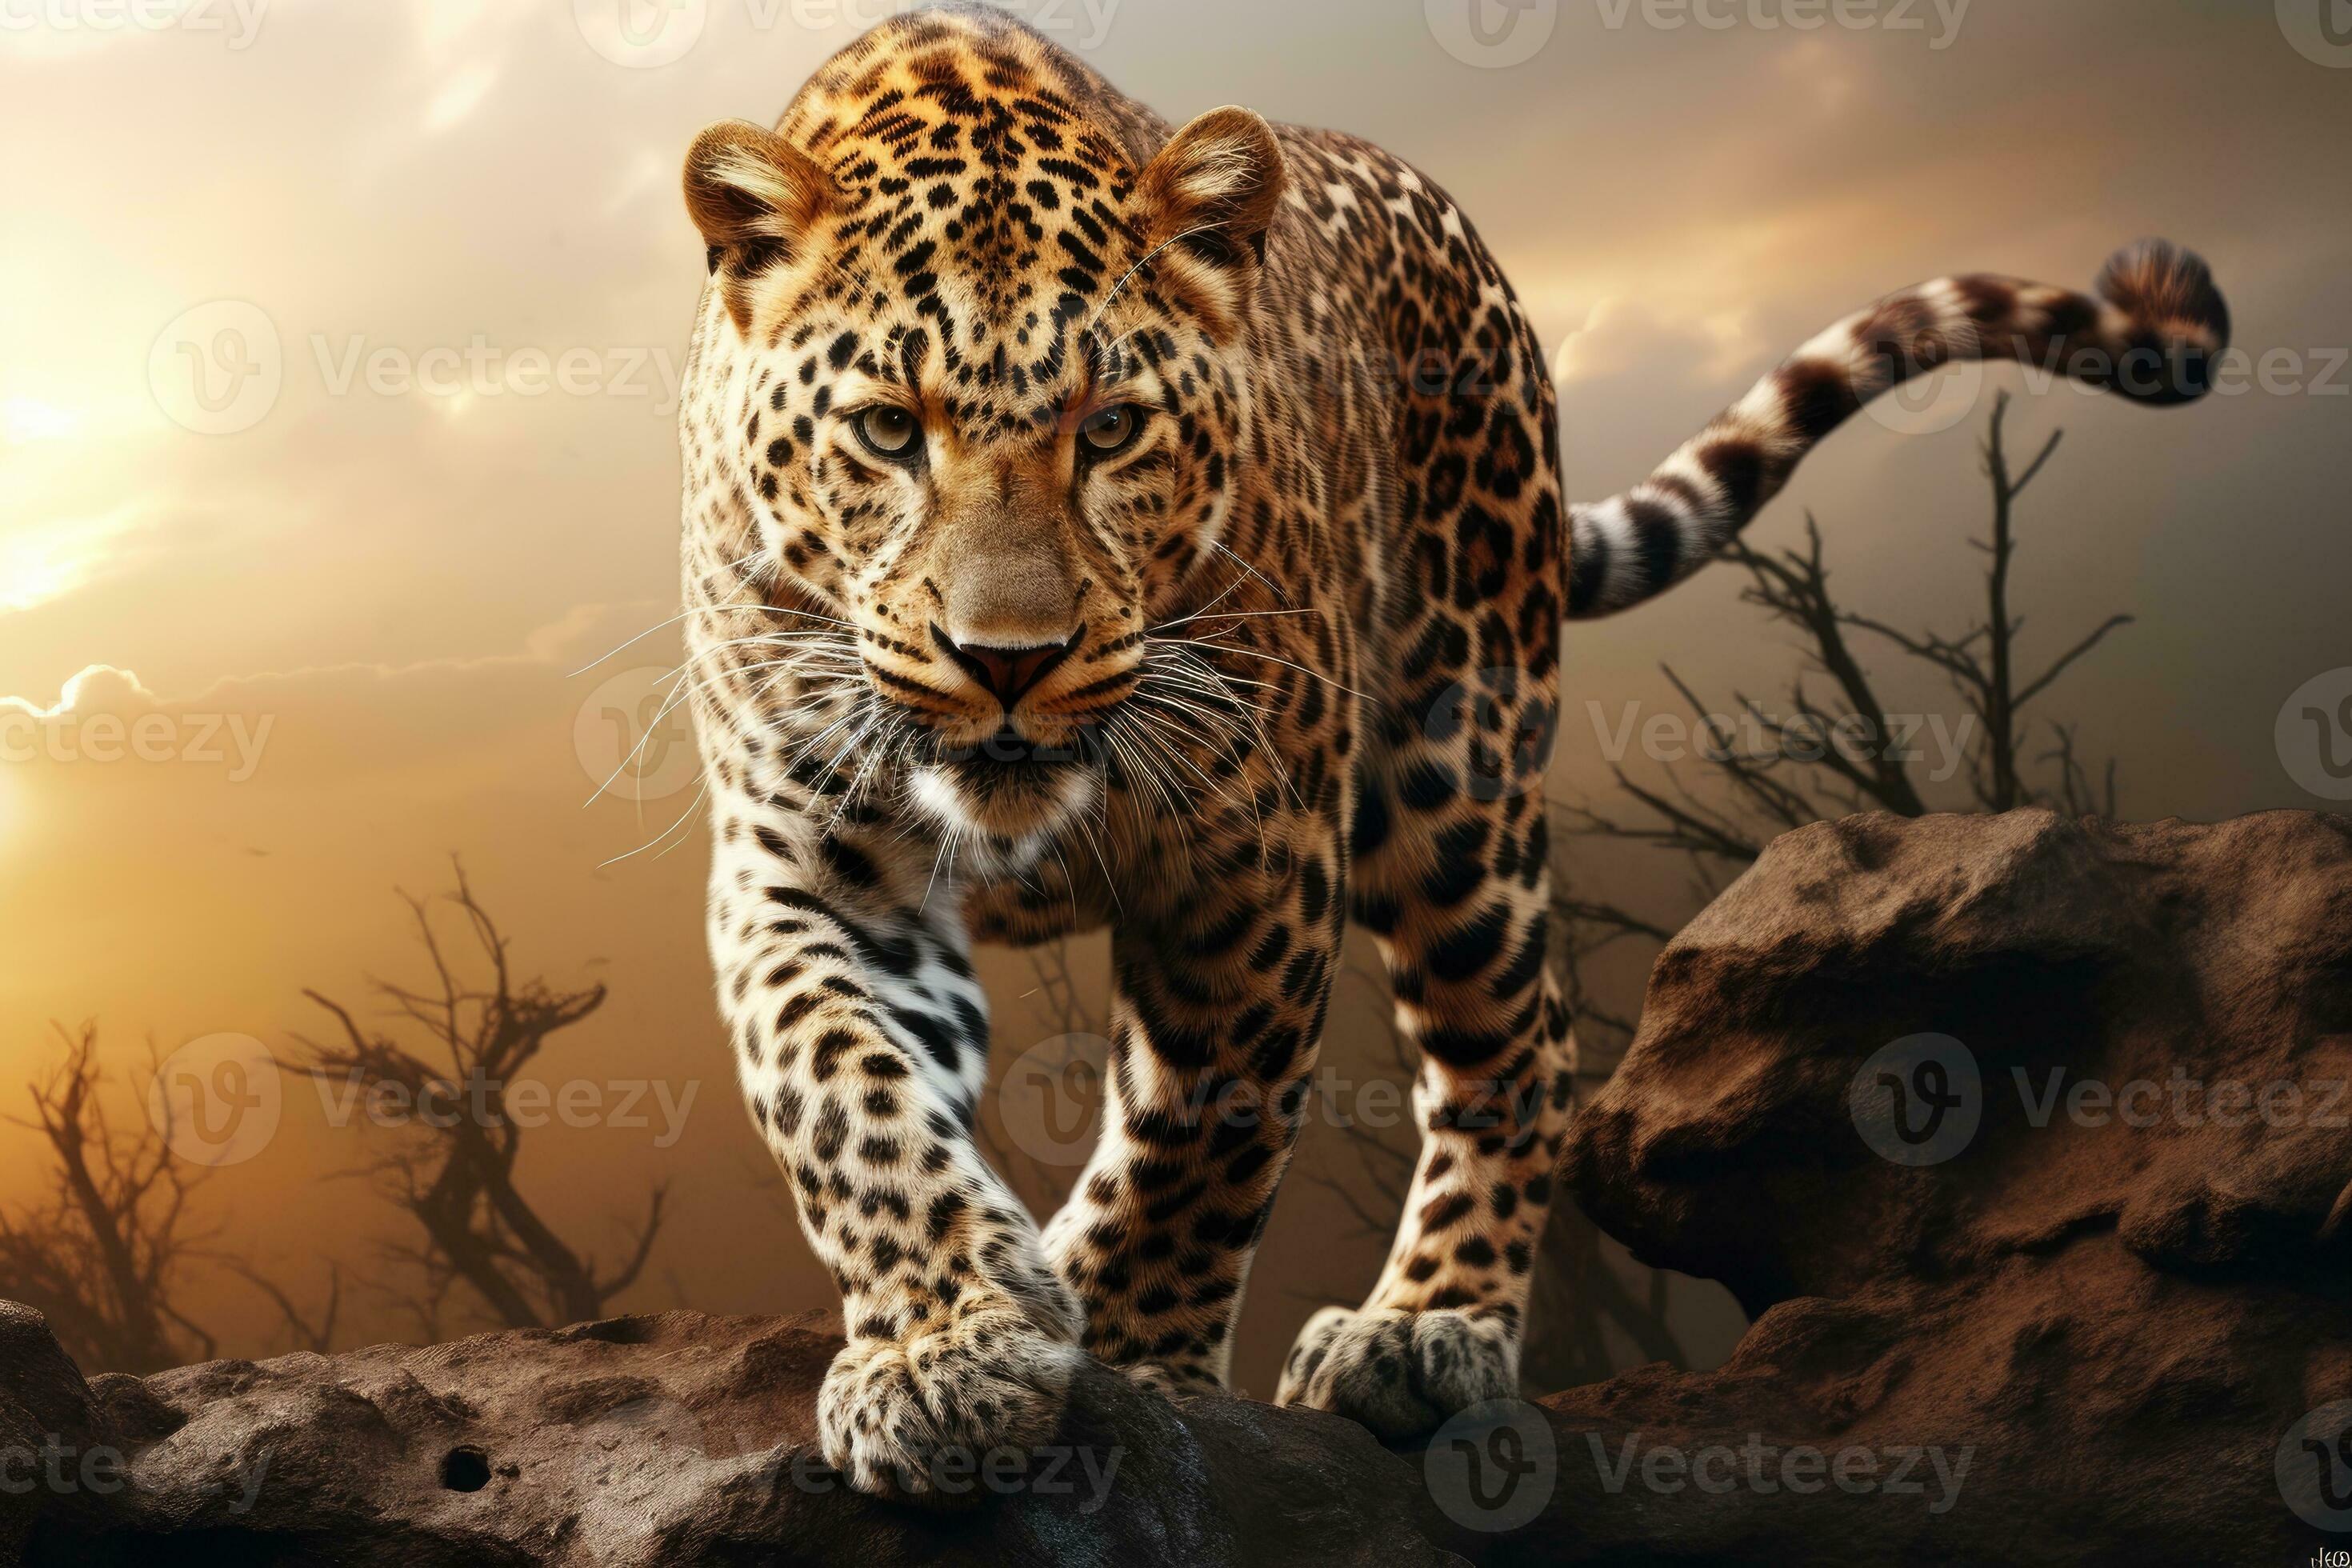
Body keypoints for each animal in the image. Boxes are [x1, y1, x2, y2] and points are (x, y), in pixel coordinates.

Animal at [672, 2, 2228, 1499]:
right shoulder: (809, 867)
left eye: (1110, 429)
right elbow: (845, 1092)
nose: (1009, 660)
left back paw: (1423, 1330)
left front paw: (1132, 1359)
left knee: (1521, 1037)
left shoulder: (1257, 853)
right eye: (888, 431)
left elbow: (1199, 1136)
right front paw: (947, 1349)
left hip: (1454, 770)